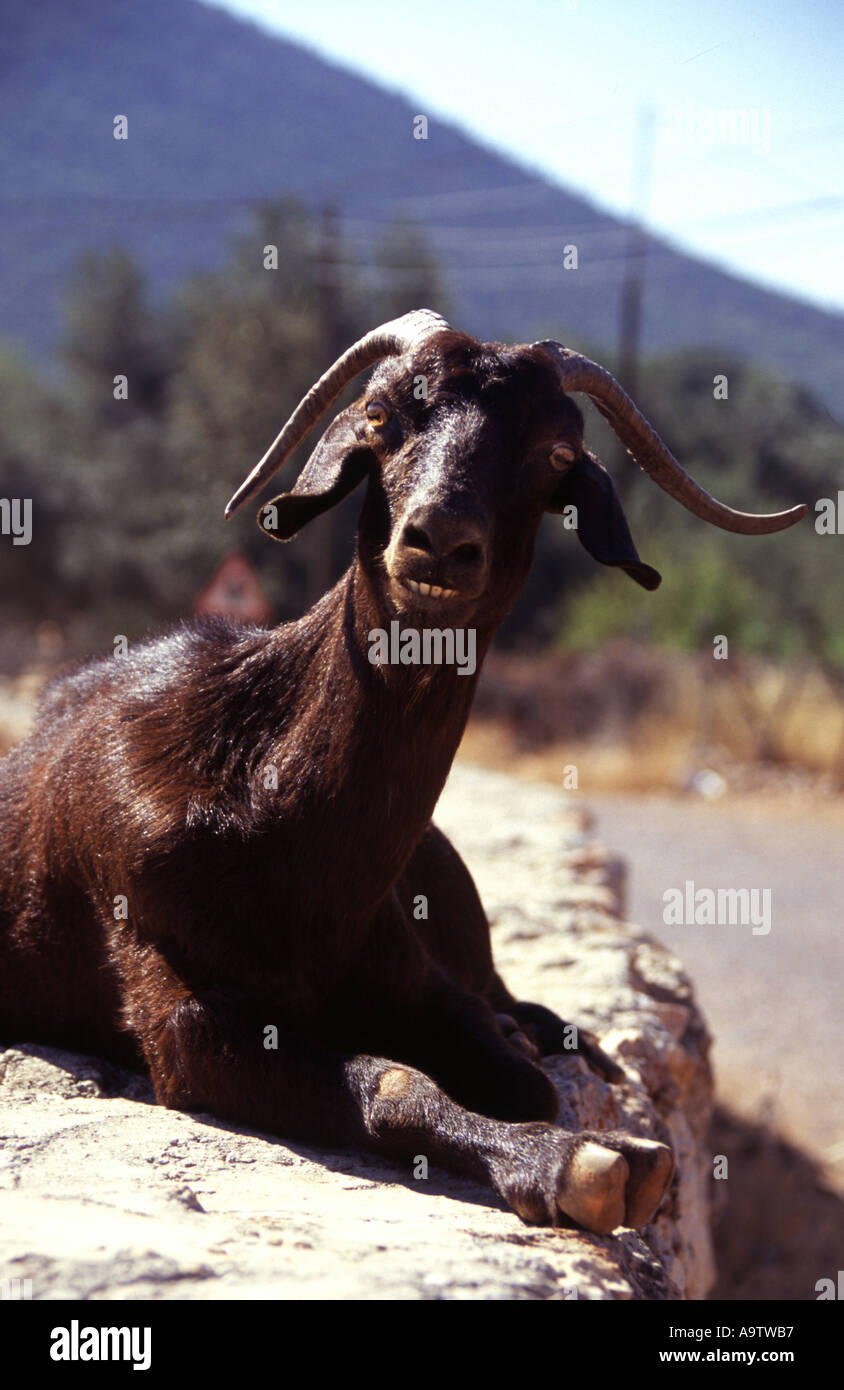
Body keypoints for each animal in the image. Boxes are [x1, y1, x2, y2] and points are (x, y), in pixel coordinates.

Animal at [0, 310, 805, 1234]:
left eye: (556, 453)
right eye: (380, 415)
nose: (438, 542)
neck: (266, 805)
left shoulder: (411, 970)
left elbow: (519, 1075)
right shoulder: (177, 1005)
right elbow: (391, 1081)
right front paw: (579, 1163)